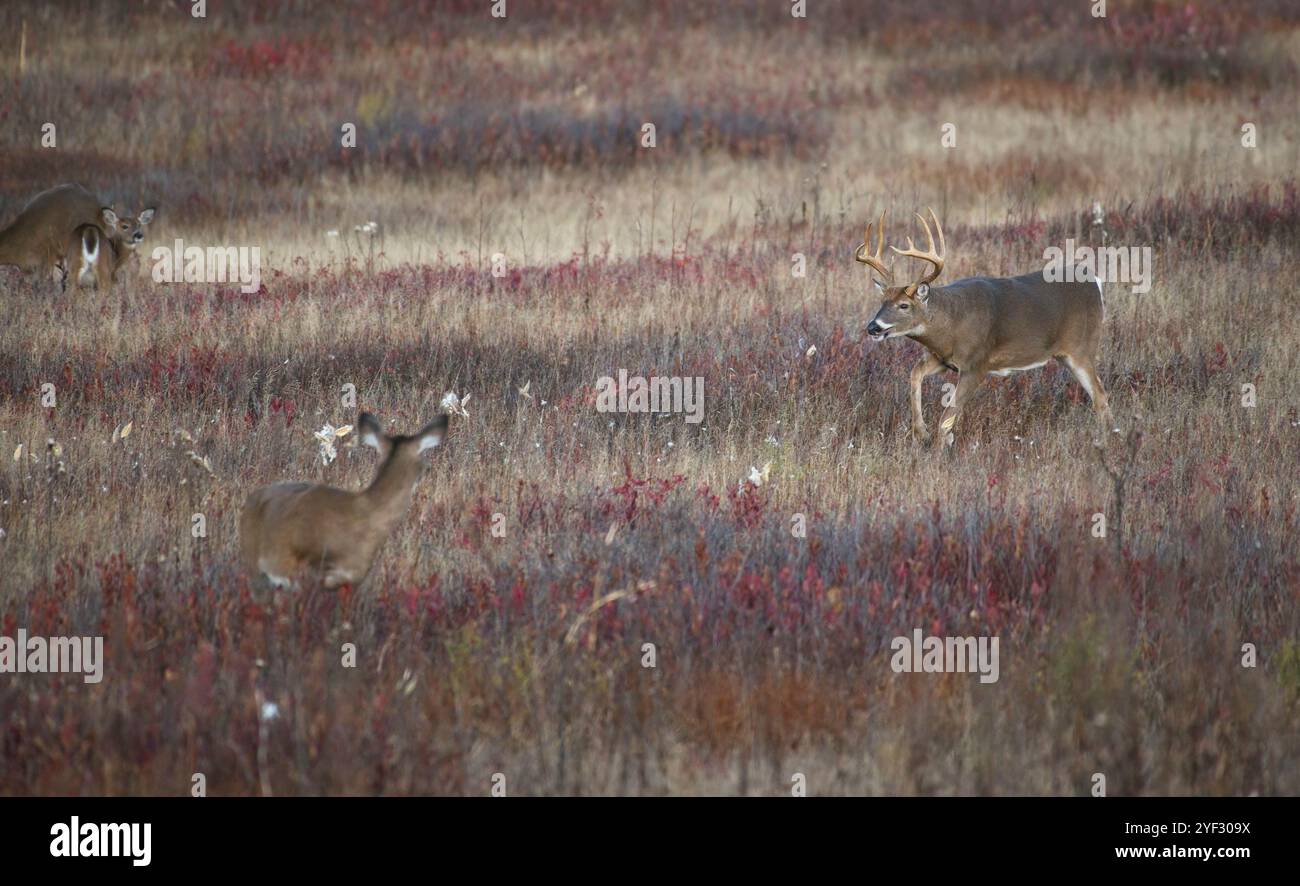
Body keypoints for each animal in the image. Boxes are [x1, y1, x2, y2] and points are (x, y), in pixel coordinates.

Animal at [857, 209, 1113, 449]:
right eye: (883, 302)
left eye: (904, 305)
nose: (873, 327)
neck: (950, 325)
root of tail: (1096, 282)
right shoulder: (941, 359)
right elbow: (914, 375)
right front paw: (921, 432)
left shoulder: (977, 363)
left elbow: (946, 418)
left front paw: (937, 452)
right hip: (1065, 355)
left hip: (1082, 348)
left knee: (1101, 396)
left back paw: (1105, 443)